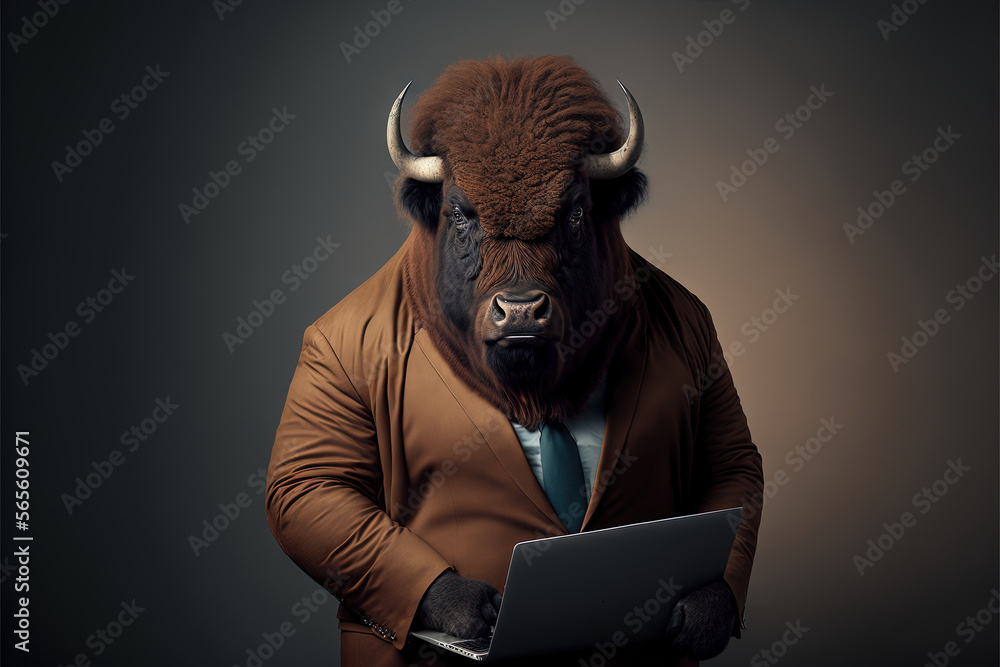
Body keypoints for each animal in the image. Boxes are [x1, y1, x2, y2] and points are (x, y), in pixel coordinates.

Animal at [266, 55, 763, 667]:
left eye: (575, 212)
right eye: (461, 213)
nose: (521, 311)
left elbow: (730, 462)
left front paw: (702, 611)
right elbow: (313, 485)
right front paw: (470, 608)